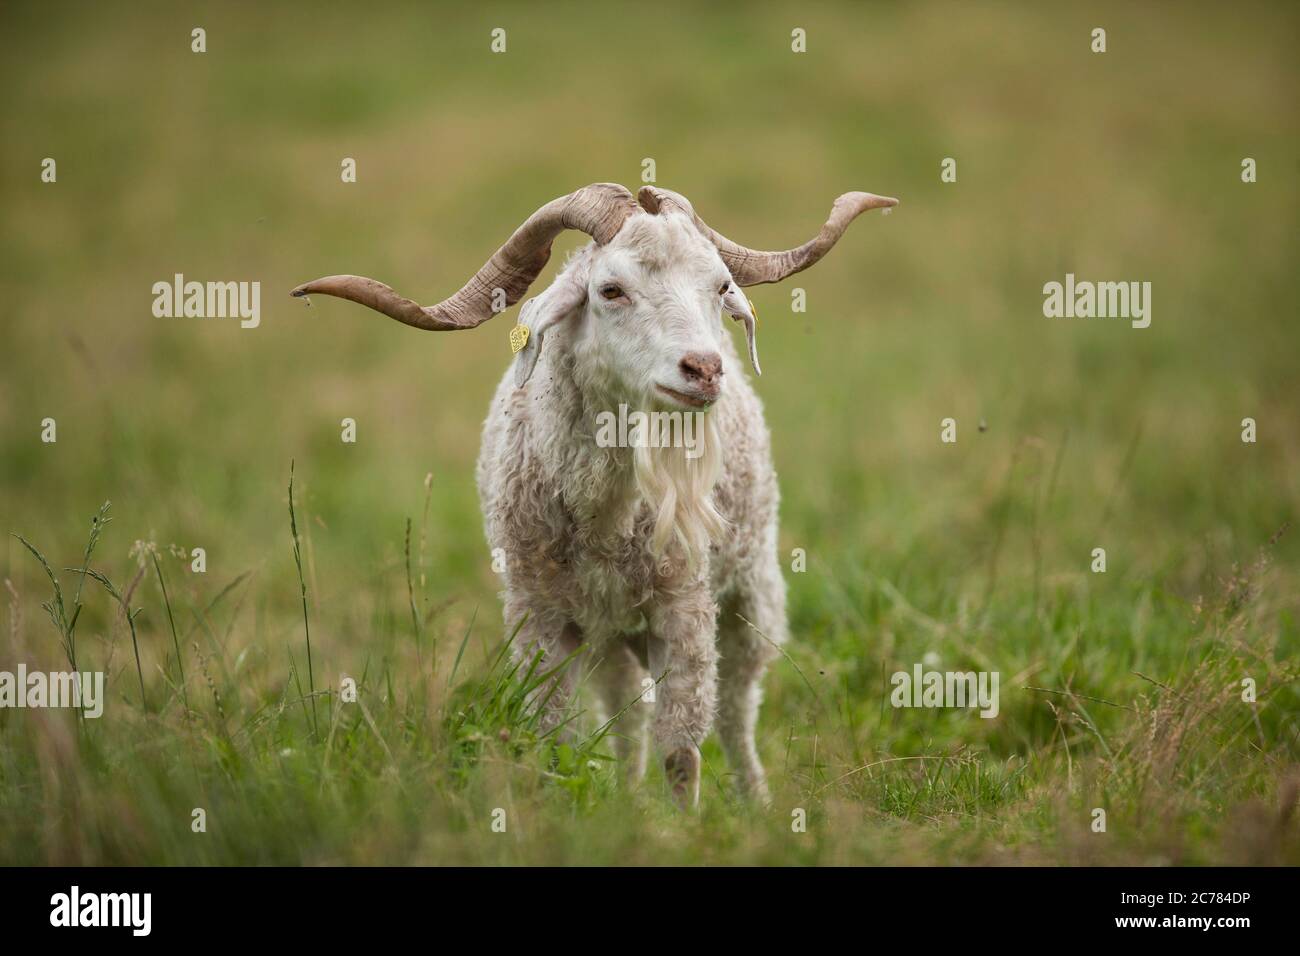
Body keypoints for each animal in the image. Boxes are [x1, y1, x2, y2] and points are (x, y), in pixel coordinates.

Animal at [292, 183, 897, 806]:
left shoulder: (685, 605)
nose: (704, 369)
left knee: (734, 710)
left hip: (748, 594)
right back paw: (629, 797)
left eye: (720, 286)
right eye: (611, 290)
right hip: (610, 634)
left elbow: (682, 747)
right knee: (627, 715)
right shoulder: (539, 614)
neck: (606, 520)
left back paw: (755, 803)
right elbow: (555, 731)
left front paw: (685, 823)